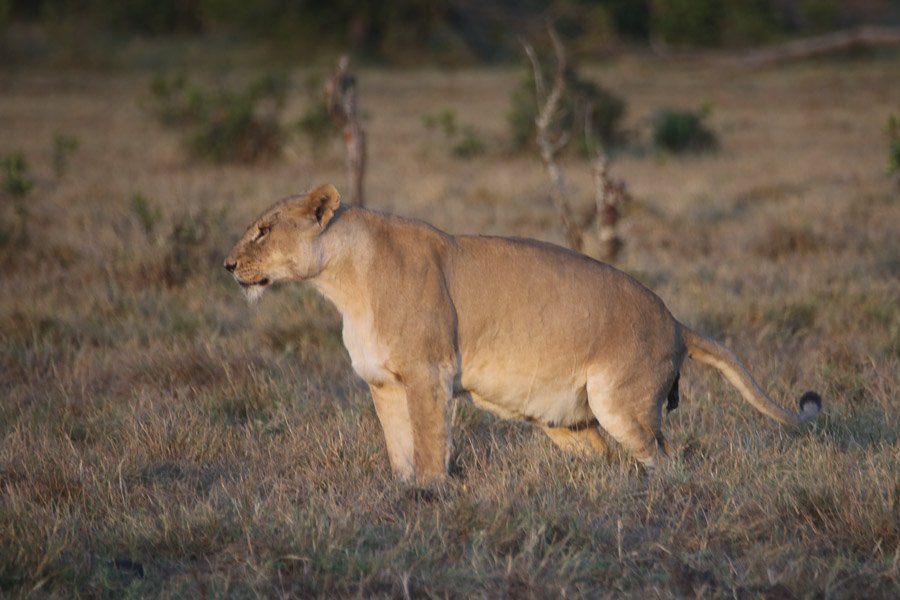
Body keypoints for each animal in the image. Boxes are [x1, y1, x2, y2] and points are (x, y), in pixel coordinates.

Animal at [225, 184, 821, 485]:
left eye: (263, 230)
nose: (228, 265)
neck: (342, 283)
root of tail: (676, 321)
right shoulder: (385, 384)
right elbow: (400, 451)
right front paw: (405, 497)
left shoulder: (429, 374)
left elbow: (429, 445)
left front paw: (434, 498)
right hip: (565, 420)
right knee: (611, 460)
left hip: (621, 403)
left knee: (665, 461)